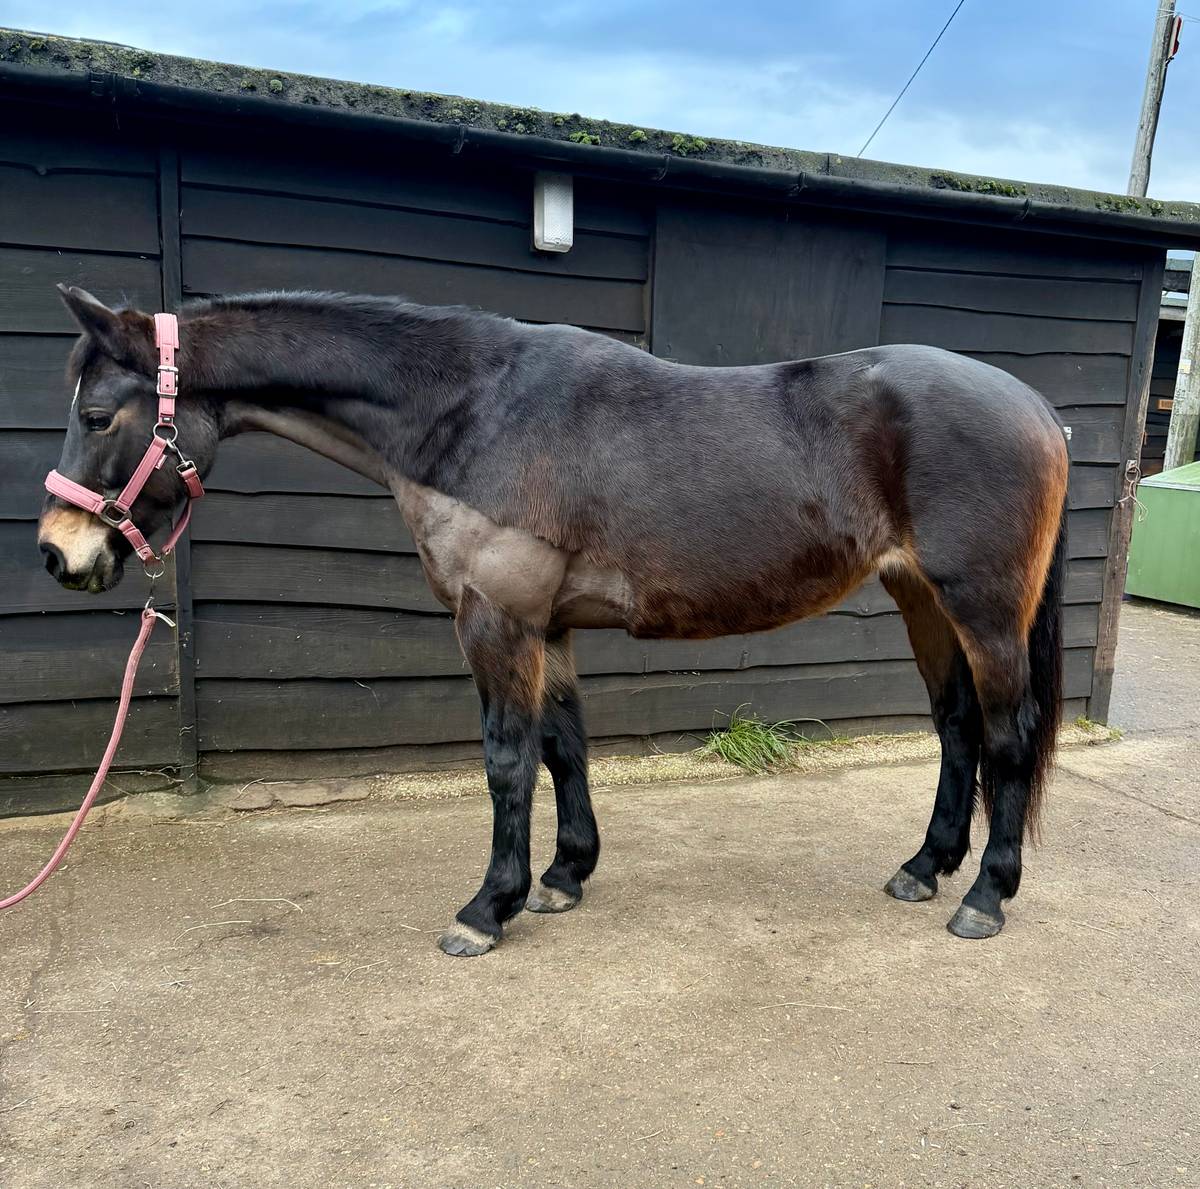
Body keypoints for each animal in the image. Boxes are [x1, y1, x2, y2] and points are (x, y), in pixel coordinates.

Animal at [37, 285, 1070, 957]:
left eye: (97, 414)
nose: (58, 553)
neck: (472, 409)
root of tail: (1035, 407)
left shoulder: (495, 620)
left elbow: (506, 759)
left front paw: (486, 907)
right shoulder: (549, 626)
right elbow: (563, 745)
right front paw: (565, 877)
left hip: (981, 608)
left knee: (1007, 735)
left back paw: (984, 894)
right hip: (922, 600)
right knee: (956, 728)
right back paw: (926, 865)